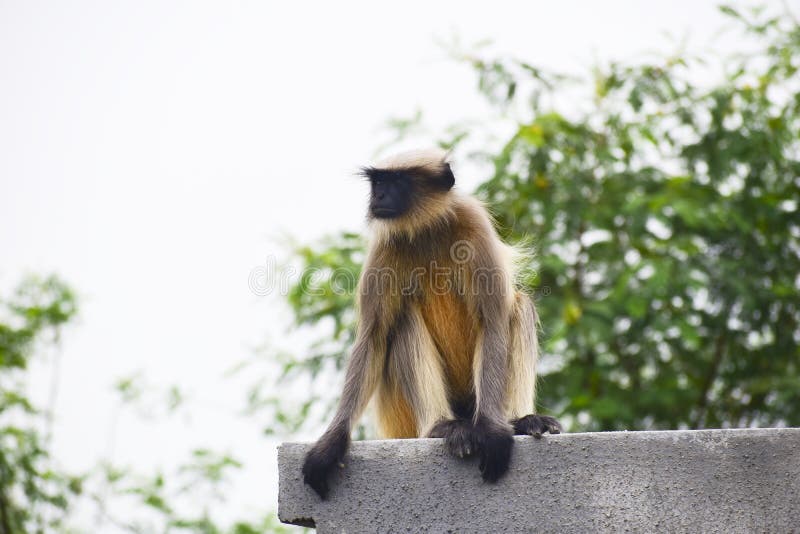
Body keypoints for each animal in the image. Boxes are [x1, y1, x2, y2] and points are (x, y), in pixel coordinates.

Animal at [302, 149, 561, 499]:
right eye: (378, 182)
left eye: (397, 181)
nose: (378, 197)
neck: (426, 229)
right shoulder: (384, 246)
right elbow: (373, 336)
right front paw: (331, 444)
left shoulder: (472, 223)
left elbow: (493, 321)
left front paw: (494, 432)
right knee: (401, 321)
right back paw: (441, 427)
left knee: (518, 307)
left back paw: (520, 420)